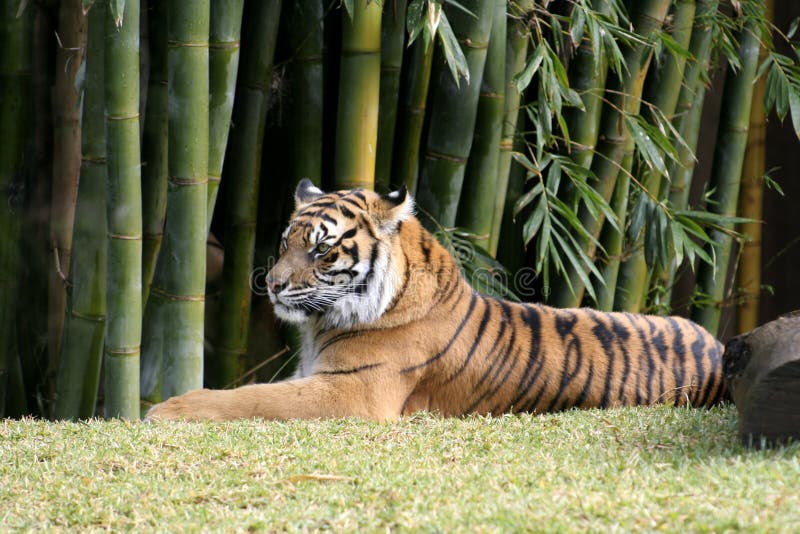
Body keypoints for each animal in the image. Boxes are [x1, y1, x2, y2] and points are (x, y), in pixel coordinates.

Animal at [147, 179, 727, 421]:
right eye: (286, 241)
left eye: (322, 250)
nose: (271, 285)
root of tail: (720, 349)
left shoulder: (351, 394)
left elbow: (250, 397)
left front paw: (166, 409)